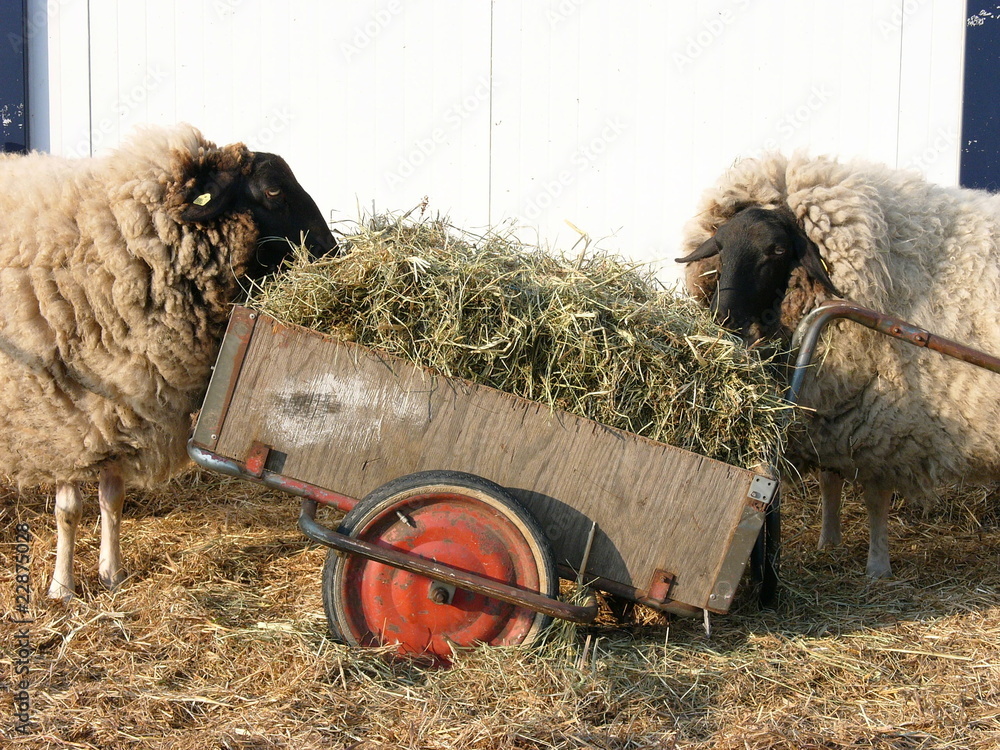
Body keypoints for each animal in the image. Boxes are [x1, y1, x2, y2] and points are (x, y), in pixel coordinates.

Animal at [0, 123, 337, 599]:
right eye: (273, 189)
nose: (334, 252)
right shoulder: (58, 418)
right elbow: (68, 509)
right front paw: (62, 586)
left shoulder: (119, 406)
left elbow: (112, 498)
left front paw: (112, 574)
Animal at [676, 153, 1000, 577]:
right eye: (720, 246)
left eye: (777, 250)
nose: (724, 318)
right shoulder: (831, 416)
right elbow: (831, 481)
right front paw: (828, 542)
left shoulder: (883, 425)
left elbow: (876, 498)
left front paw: (877, 566)